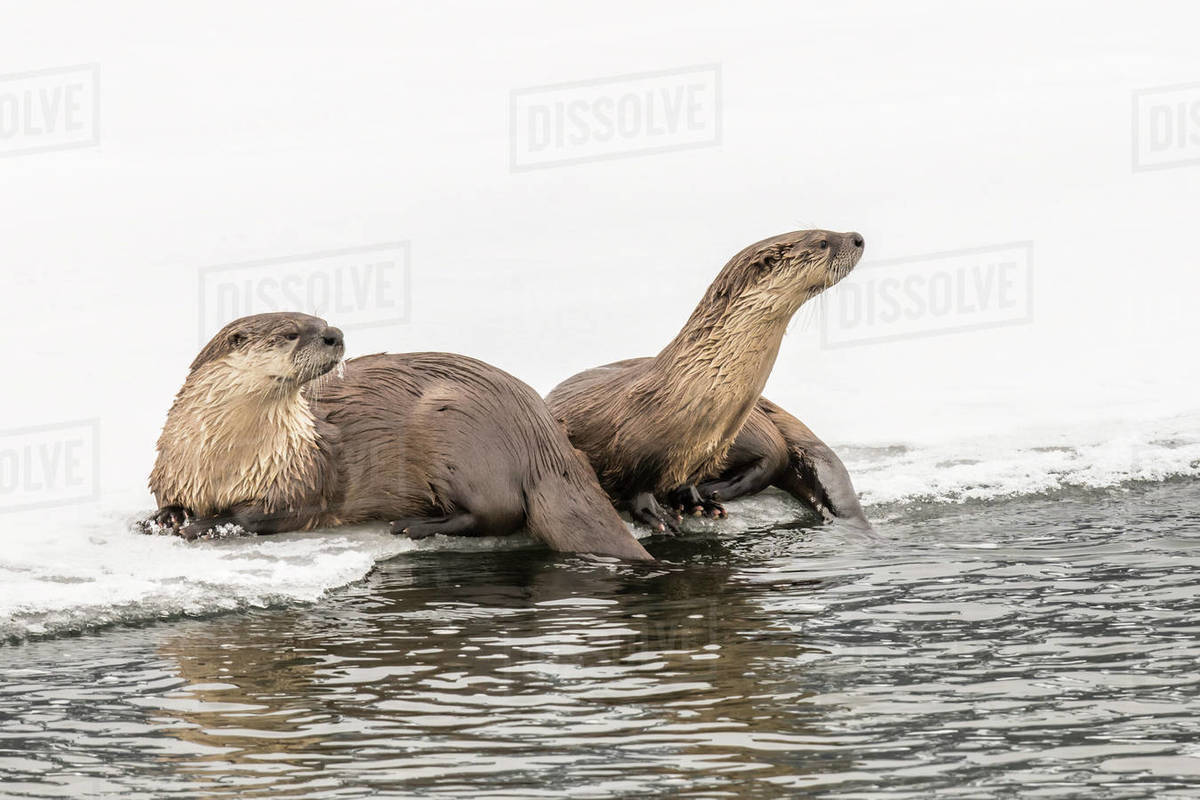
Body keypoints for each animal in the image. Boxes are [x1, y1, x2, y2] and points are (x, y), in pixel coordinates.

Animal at [145, 312, 652, 561]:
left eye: (320, 319)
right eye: (291, 332)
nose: (333, 333)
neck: (223, 457)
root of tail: (545, 438)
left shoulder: (302, 478)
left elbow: (267, 514)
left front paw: (205, 524)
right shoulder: (173, 466)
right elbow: (166, 499)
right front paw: (164, 518)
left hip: (458, 430)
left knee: (499, 513)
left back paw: (415, 525)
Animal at [546, 229, 864, 532]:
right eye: (822, 241)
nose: (858, 238)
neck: (694, 382)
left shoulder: (708, 449)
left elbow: (686, 482)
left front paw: (698, 503)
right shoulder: (631, 449)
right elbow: (634, 487)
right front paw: (657, 515)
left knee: (774, 456)